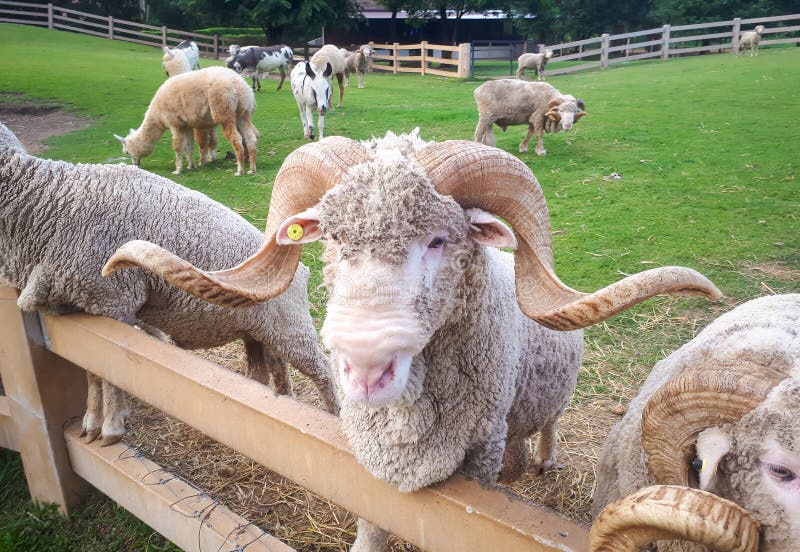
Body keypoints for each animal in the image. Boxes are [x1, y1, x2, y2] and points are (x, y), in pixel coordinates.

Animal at [0, 122, 337, 445]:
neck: (49, 200)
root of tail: (298, 269)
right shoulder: (75, 305)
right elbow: (89, 366)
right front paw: (92, 423)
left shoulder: (114, 300)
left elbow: (105, 366)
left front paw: (110, 427)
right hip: (259, 331)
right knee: (268, 369)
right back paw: (283, 402)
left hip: (291, 328)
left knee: (322, 370)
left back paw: (333, 417)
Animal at [102, 130, 722, 551]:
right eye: (332, 238)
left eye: (440, 240)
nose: (364, 368)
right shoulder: (374, 467)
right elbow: (373, 525)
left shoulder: (476, 462)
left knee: (548, 423)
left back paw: (544, 462)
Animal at [115, 66, 258, 176]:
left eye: (126, 152)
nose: (135, 165)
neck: (157, 116)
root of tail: (238, 83)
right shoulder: (187, 125)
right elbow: (188, 146)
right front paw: (191, 166)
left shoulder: (175, 124)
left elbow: (177, 146)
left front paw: (178, 170)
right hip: (243, 113)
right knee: (250, 137)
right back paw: (251, 169)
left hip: (223, 110)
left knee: (236, 138)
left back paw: (239, 171)